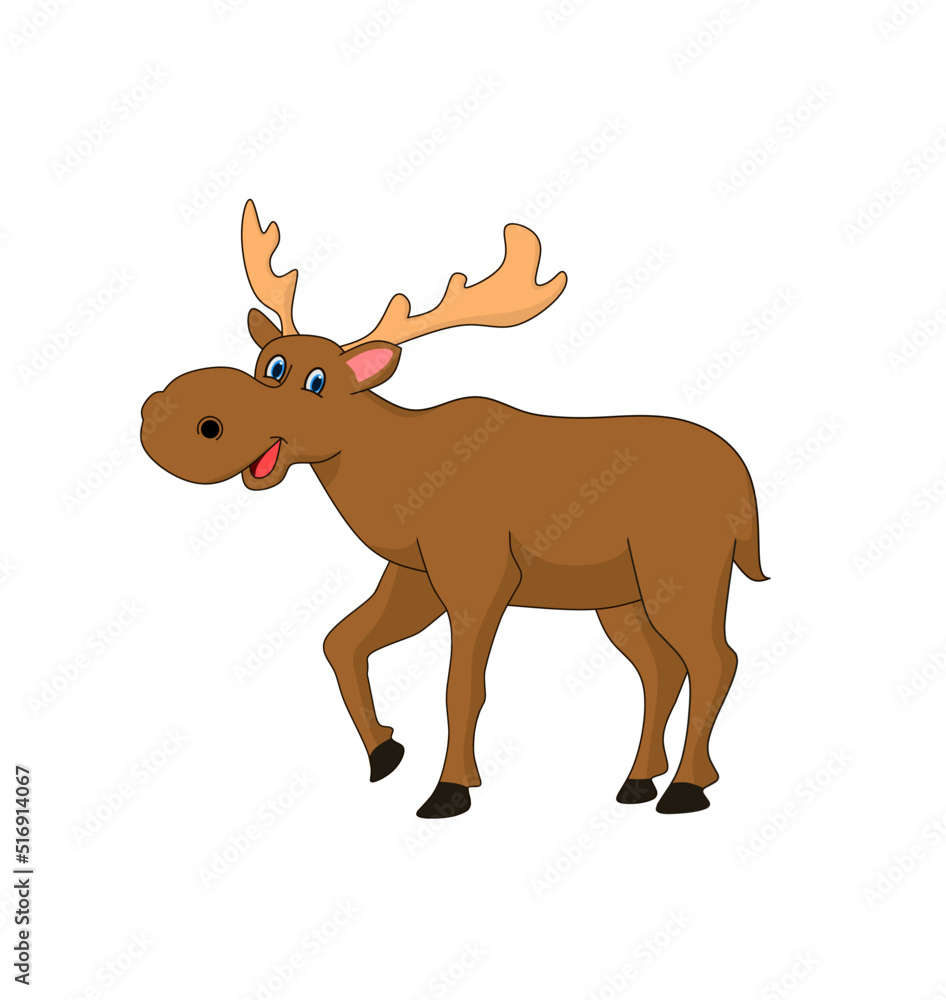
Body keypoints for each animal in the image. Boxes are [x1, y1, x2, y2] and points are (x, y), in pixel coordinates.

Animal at [140, 200, 768, 819]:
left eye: (316, 381)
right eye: (269, 365)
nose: (173, 418)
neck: (394, 484)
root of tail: (746, 486)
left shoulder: (480, 575)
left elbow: (460, 686)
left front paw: (450, 789)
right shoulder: (415, 575)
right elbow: (340, 643)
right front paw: (385, 751)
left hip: (683, 571)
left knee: (717, 659)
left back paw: (687, 787)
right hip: (621, 596)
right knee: (662, 668)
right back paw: (640, 779)